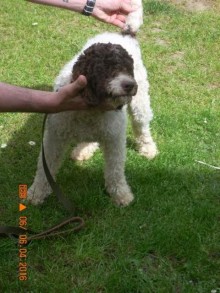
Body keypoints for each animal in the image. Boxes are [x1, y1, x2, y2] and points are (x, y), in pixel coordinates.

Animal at [27, 0, 158, 205]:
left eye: (128, 69)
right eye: (105, 69)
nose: (130, 85)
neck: (91, 110)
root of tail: (125, 33)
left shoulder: (114, 138)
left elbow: (115, 170)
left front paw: (120, 194)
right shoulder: (54, 137)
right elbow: (45, 166)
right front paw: (37, 192)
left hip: (140, 103)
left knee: (141, 127)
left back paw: (148, 148)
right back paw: (84, 149)